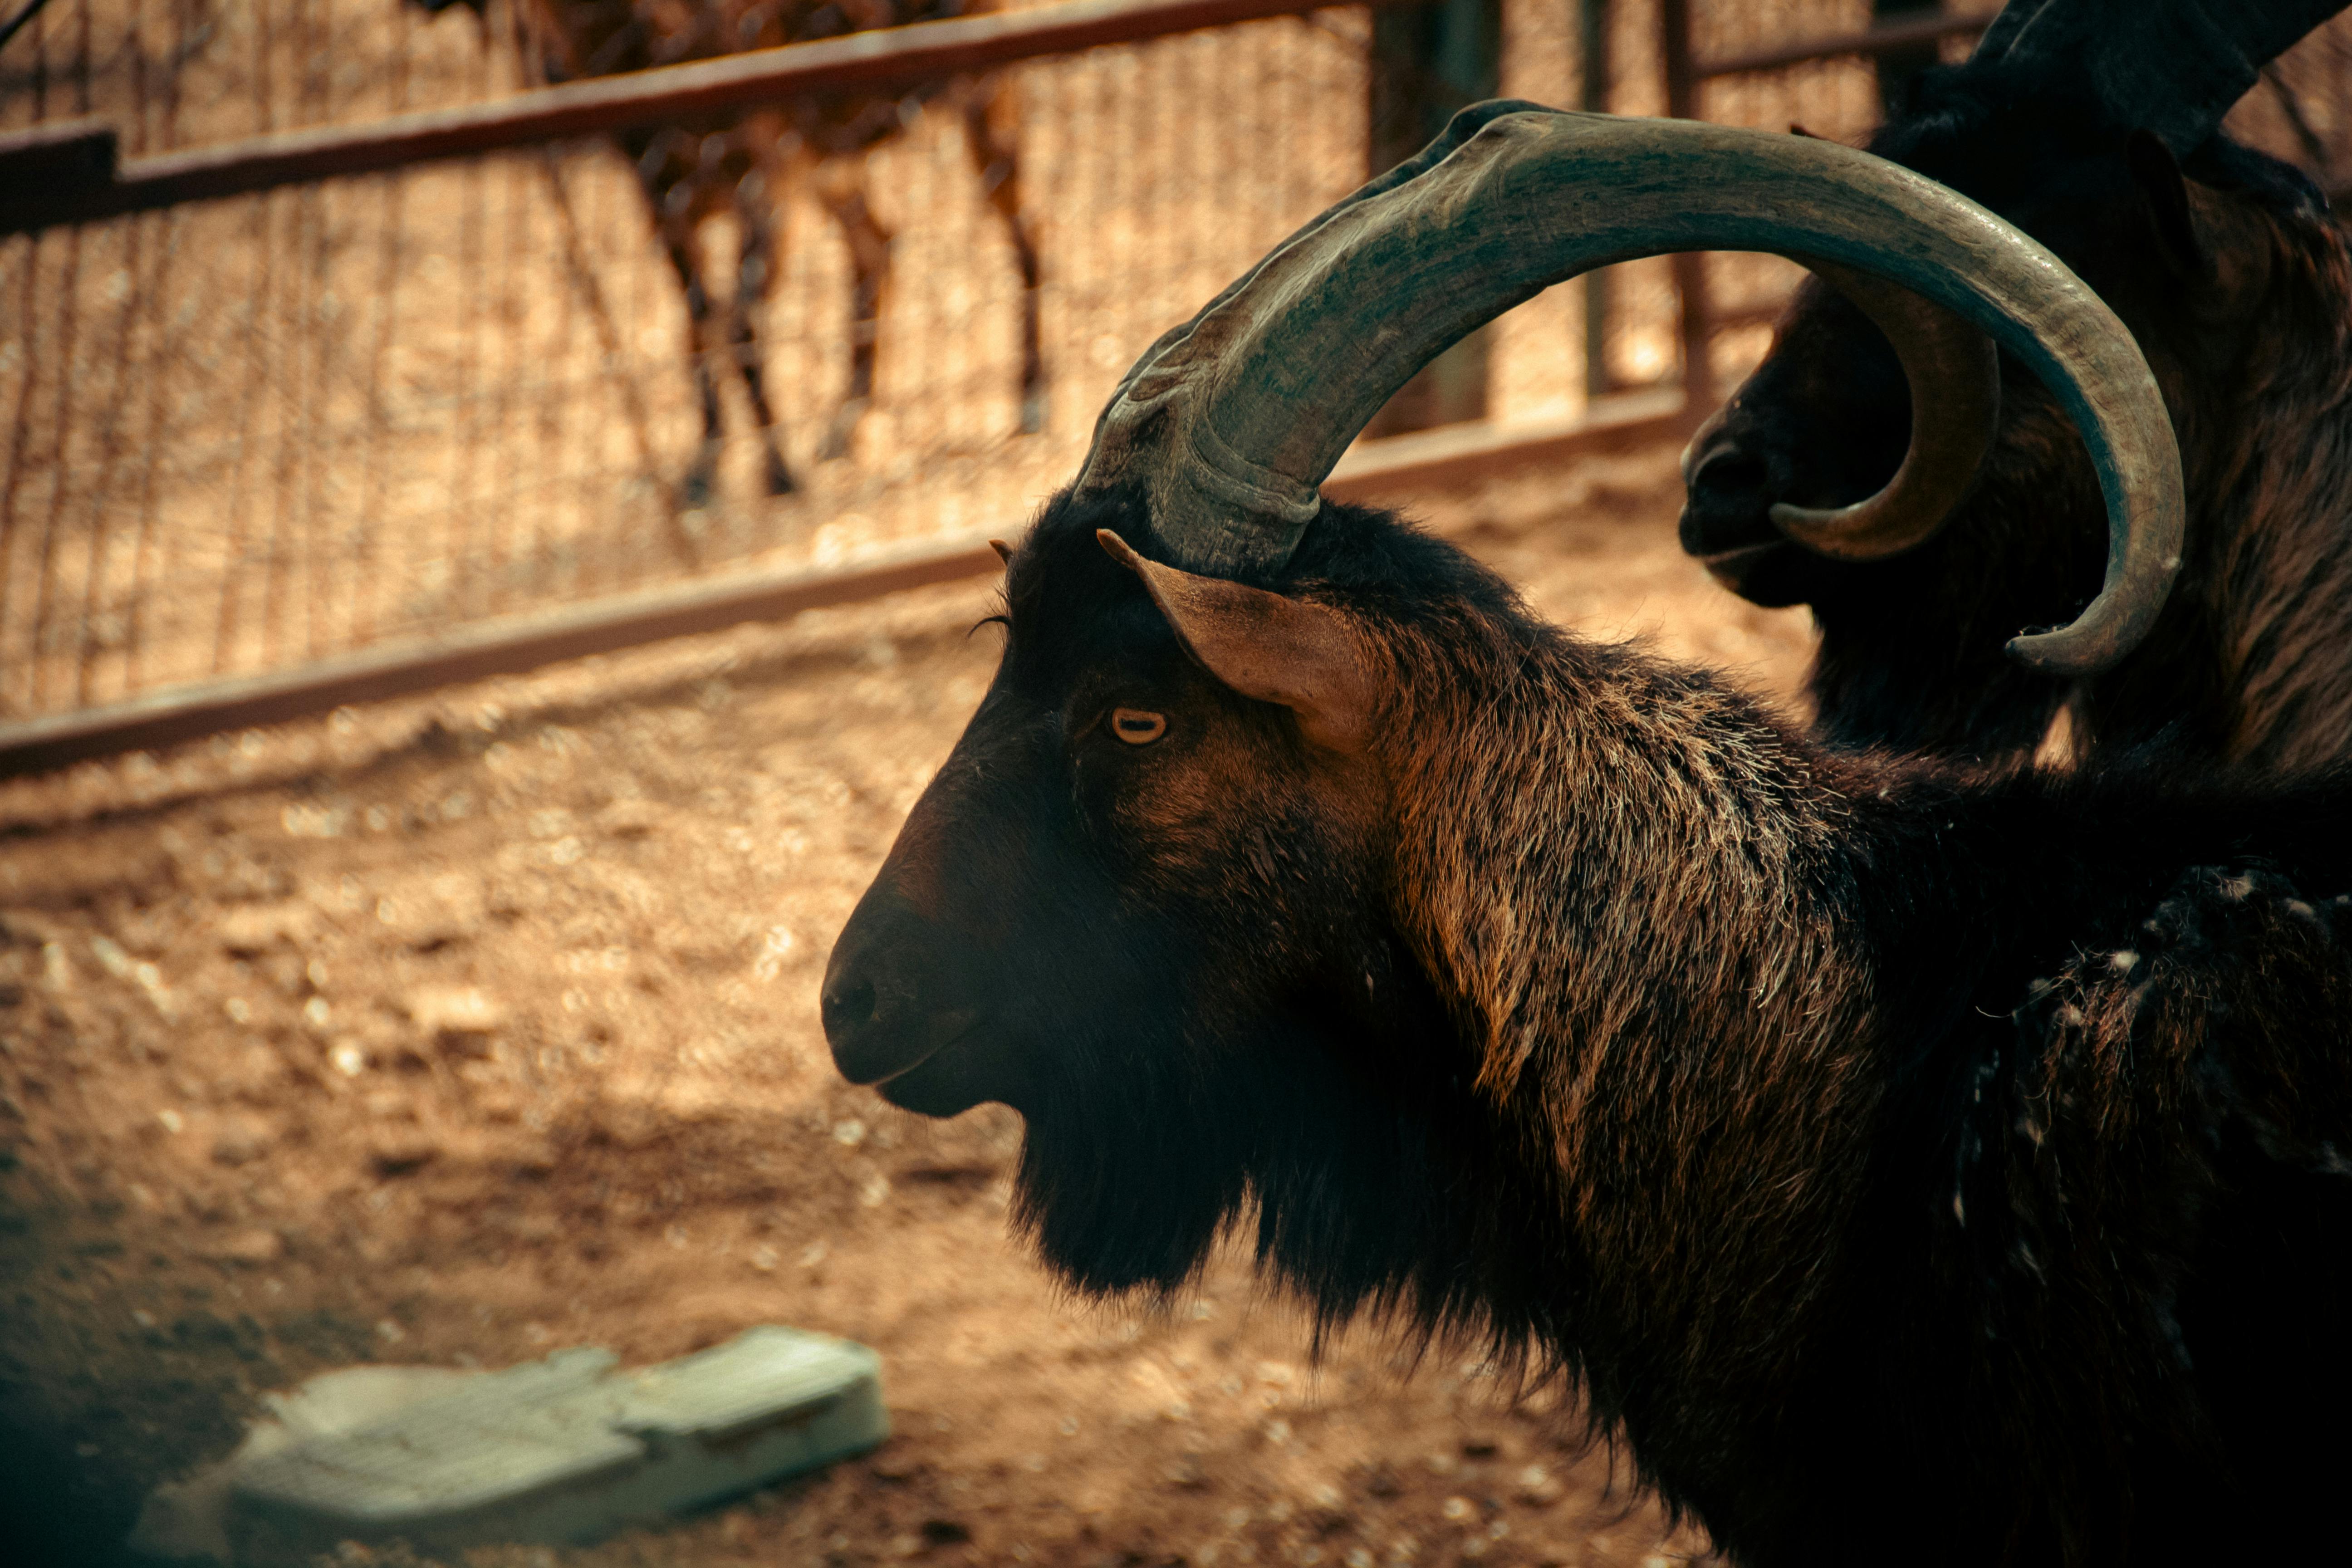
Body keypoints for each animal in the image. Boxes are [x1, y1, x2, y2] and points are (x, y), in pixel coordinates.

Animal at [415, 0, 1045, 505]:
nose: (547, 70)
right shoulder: (663, 200)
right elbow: (697, 324)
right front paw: (703, 471)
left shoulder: (763, 185)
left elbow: (739, 327)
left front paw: (778, 473)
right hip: (830, 161)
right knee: (879, 245)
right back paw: (844, 426)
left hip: (983, 85)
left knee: (1024, 231)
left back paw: (1032, 398)